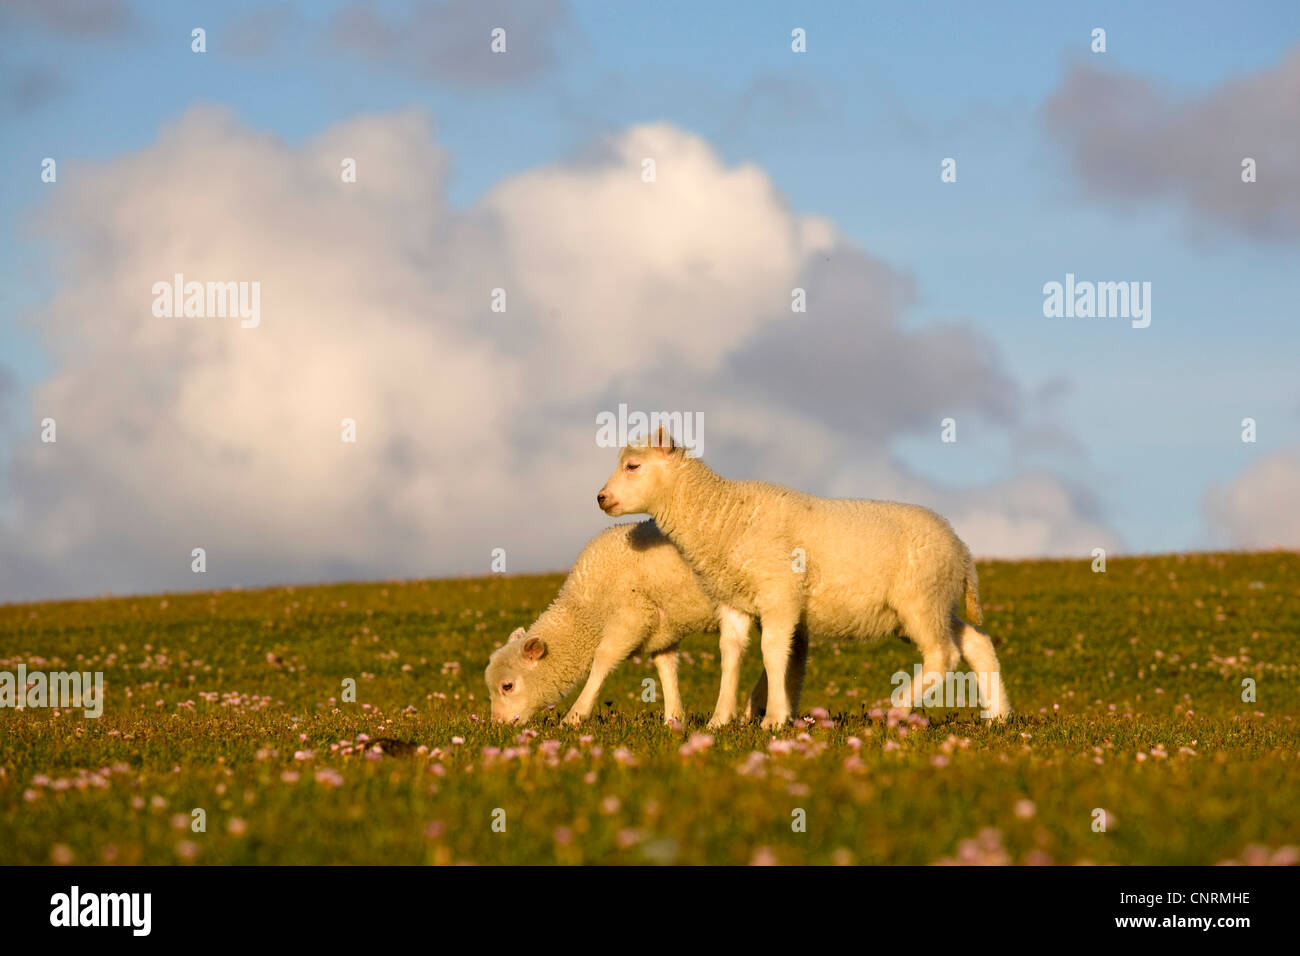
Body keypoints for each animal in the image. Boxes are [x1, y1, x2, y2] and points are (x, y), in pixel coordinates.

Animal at [485, 519, 755, 726]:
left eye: (507, 686)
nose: (498, 724)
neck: (586, 610)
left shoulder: (631, 618)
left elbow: (603, 659)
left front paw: (574, 718)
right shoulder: (662, 630)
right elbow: (666, 668)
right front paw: (673, 720)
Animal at [596, 427, 1011, 730]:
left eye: (632, 466)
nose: (600, 498)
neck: (724, 515)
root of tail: (961, 549)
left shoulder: (780, 594)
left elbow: (773, 653)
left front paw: (775, 720)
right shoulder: (733, 601)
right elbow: (731, 654)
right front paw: (719, 721)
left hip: (920, 599)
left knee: (943, 654)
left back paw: (896, 710)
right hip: (932, 603)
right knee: (976, 643)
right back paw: (998, 716)